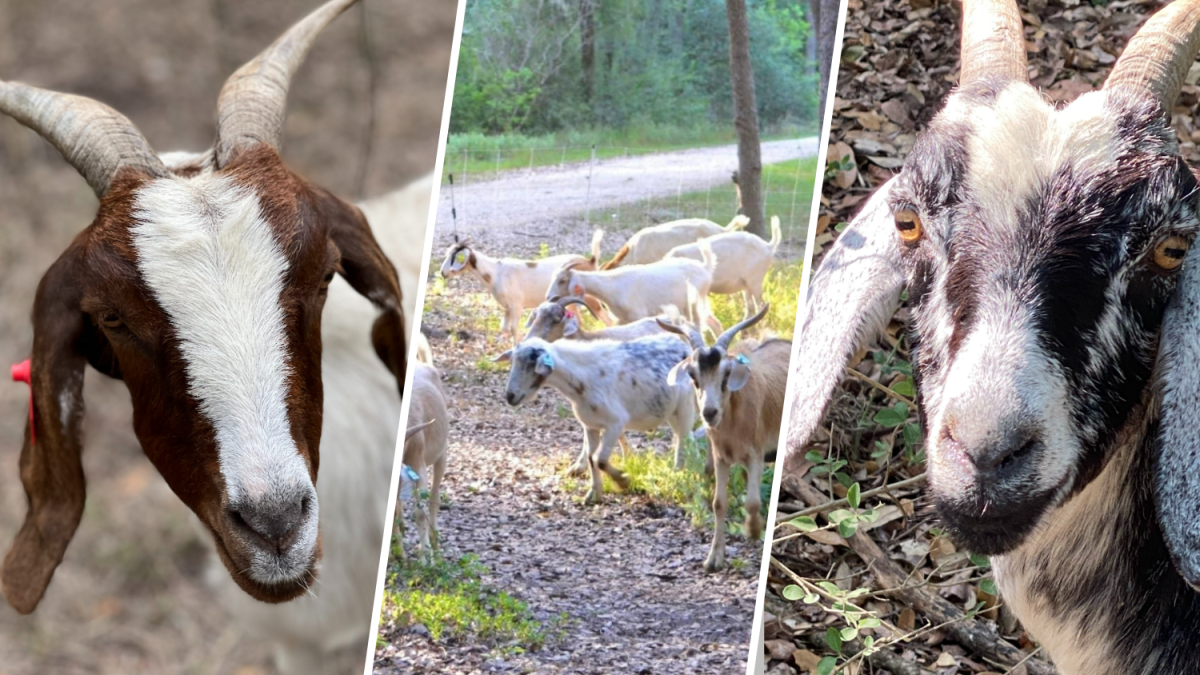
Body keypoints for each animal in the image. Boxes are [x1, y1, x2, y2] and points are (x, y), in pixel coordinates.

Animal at [395, 363, 449, 557]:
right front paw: (399, 553)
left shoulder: (417, 462)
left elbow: (419, 512)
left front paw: (427, 557)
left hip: (442, 452)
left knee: (434, 497)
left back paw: (434, 543)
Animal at [440, 230, 609, 341]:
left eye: (456, 257)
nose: (443, 273)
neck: (496, 272)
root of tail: (590, 261)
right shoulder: (507, 308)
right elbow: (505, 328)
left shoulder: (516, 306)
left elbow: (513, 329)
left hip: (590, 298)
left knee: (605, 316)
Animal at [501, 335, 696, 503]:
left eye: (530, 364)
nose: (510, 396)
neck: (582, 380)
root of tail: (683, 344)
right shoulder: (590, 425)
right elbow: (590, 457)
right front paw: (594, 495)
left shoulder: (616, 423)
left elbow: (599, 459)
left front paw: (623, 480)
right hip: (671, 411)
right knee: (687, 439)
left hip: (685, 405)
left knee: (684, 441)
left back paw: (678, 475)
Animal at [547, 245, 722, 336]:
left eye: (562, 280)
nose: (549, 297)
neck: (611, 286)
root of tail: (705, 267)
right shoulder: (622, 319)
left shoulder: (638, 315)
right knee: (714, 323)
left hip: (694, 303)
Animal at [659, 306, 788, 572]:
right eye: (693, 375)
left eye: (727, 373)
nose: (709, 412)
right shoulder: (721, 456)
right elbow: (719, 503)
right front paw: (714, 559)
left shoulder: (756, 452)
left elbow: (752, 501)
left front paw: (753, 530)